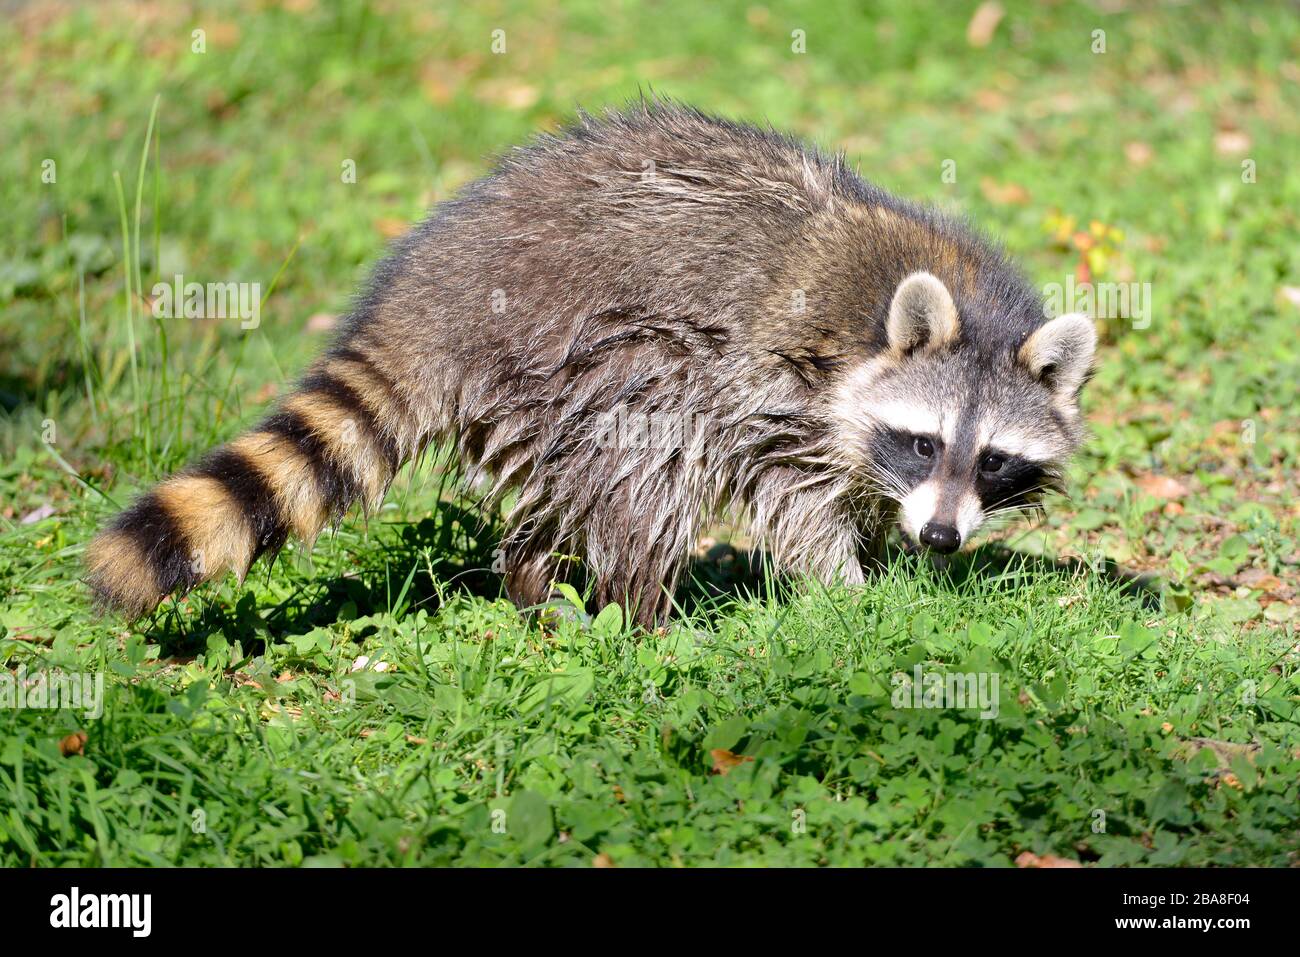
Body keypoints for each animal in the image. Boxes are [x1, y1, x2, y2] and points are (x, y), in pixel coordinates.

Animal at [86, 100, 1096, 628]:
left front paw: (892, 549)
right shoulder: (785, 383)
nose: (943, 539)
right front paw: (850, 591)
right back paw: (641, 612)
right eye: (924, 442)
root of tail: (434, 290)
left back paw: (538, 581)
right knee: (652, 452)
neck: (970, 307)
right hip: (582, 350)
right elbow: (793, 495)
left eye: (993, 460)